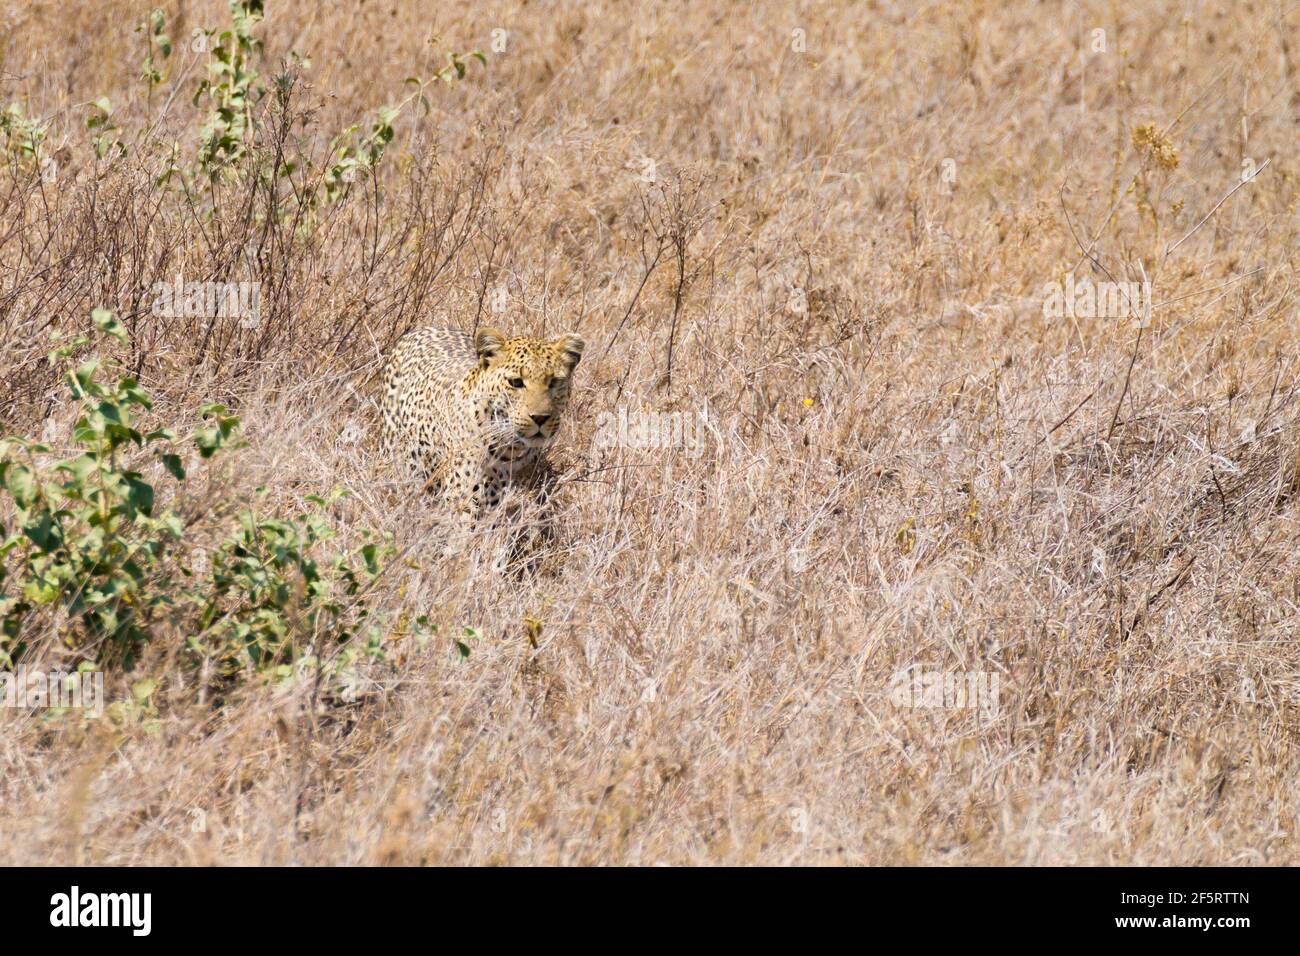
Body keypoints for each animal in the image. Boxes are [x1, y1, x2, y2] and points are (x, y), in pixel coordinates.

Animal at [379, 326, 585, 520]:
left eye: (555, 382)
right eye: (516, 382)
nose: (540, 417)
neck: (511, 449)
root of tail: (426, 326)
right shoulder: (467, 498)